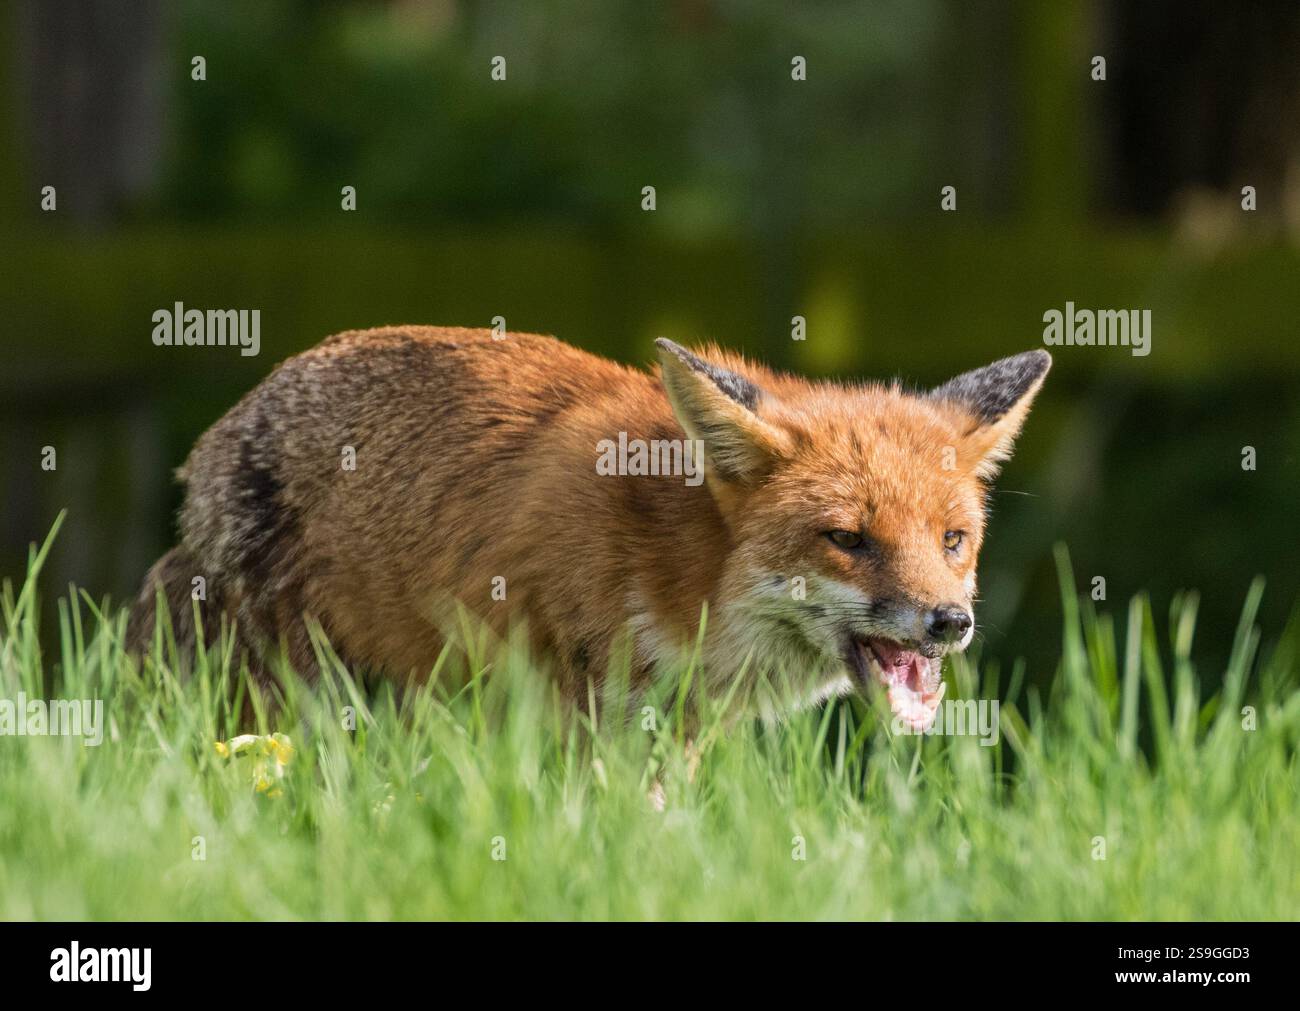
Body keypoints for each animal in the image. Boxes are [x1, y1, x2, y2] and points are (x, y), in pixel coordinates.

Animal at [127, 326, 1050, 731]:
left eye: (953, 541)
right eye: (848, 539)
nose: (949, 622)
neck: (687, 572)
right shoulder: (577, 697)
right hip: (295, 692)